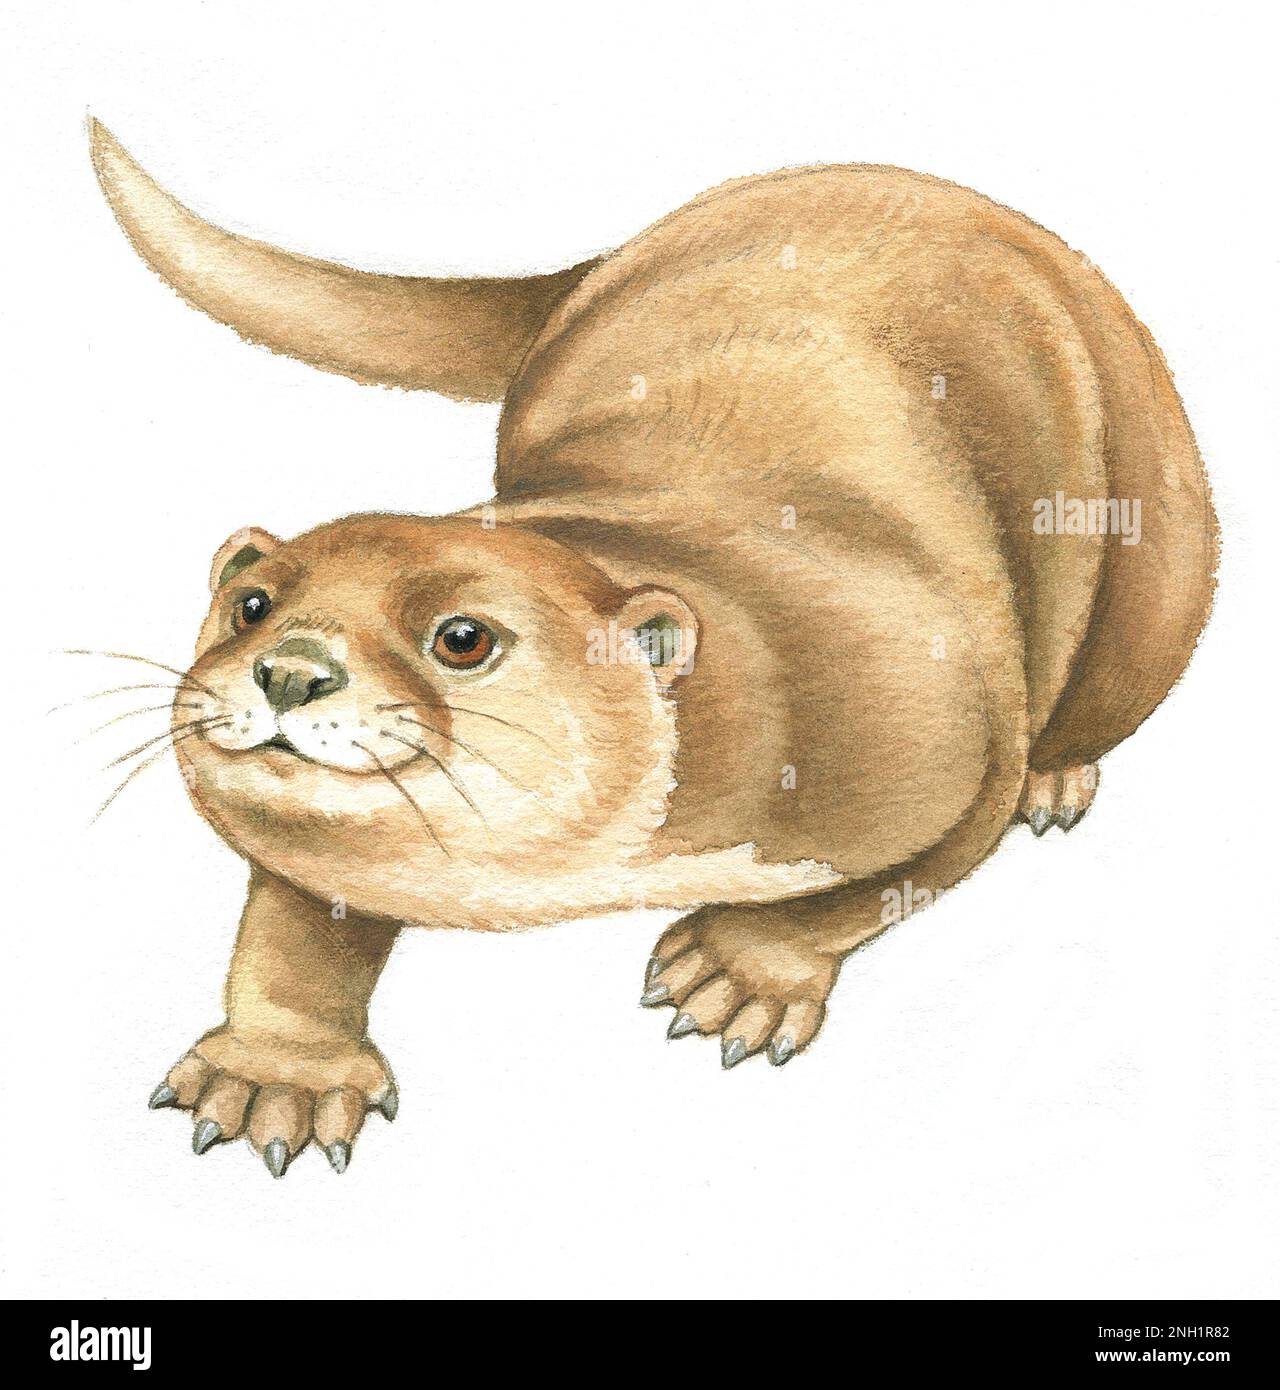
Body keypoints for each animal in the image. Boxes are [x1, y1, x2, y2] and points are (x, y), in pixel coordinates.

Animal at [89, 121, 1216, 1176]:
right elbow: (293, 920)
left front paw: (737, 971)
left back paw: (1058, 777)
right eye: (250, 604)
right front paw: (276, 1074)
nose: (291, 670)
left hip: (1157, 538)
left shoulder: (935, 722)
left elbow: (891, 883)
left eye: (462, 638)